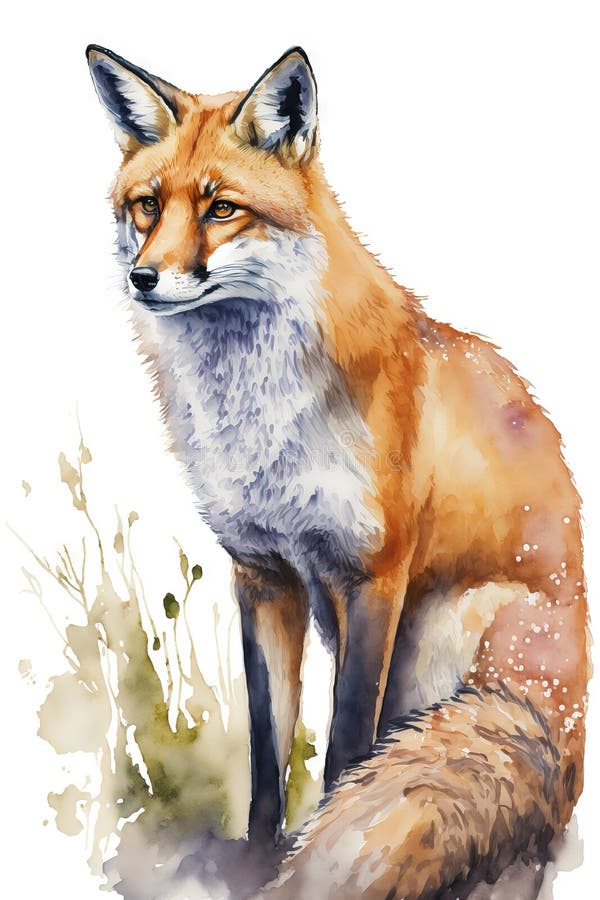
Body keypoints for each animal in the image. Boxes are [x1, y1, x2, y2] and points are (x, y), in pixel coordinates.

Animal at [87, 45, 590, 898]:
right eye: (148, 206)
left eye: (222, 209)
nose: (143, 279)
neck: (260, 424)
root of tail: (567, 746)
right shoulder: (263, 575)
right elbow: (267, 752)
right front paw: (258, 863)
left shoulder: (373, 577)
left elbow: (345, 752)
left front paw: (310, 854)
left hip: (450, 627)